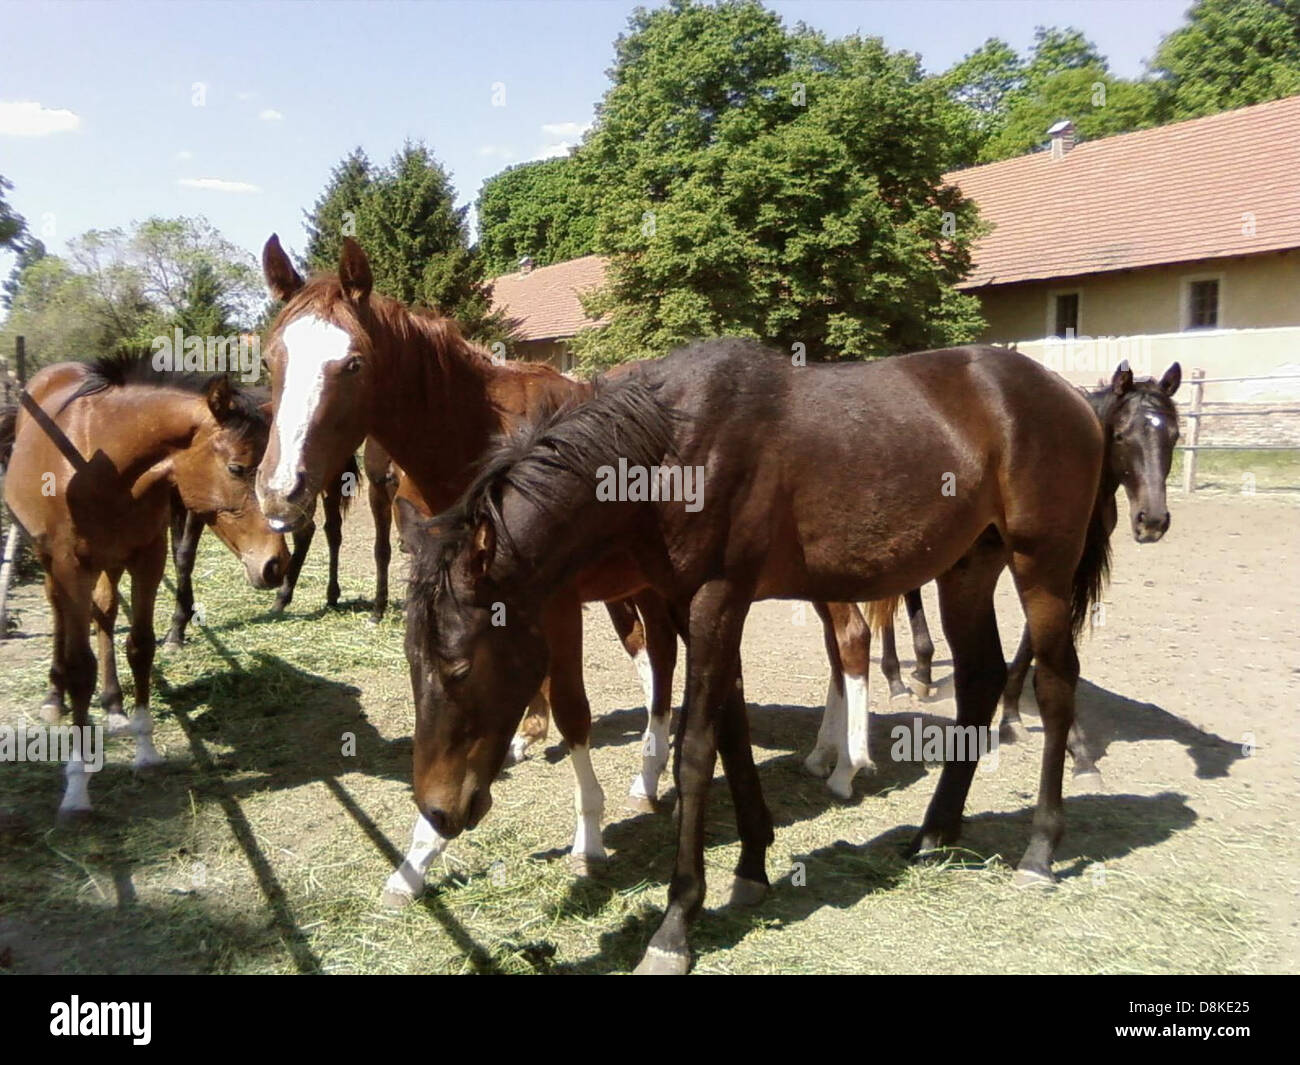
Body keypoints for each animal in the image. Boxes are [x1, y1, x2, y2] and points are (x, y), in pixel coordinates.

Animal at [2, 354, 288, 813]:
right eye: (236, 468)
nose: (274, 565)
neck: (100, 464)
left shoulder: (147, 559)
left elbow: (140, 647)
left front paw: (145, 748)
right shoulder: (71, 567)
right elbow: (80, 666)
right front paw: (77, 786)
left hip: (110, 563)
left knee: (104, 614)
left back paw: (113, 705)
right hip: (50, 561)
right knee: (60, 614)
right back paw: (53, 696)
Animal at [253, 235, 678, 903]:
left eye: (352, 365)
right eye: (271, 358)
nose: (278, 492)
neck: (474, 439)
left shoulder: (555, 602)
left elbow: (574, 709)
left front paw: (588, 837)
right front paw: (416, 859)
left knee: (661, 658)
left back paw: (651, 771)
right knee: (644, 653)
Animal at [401, 338, 1116, 974]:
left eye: (459, 667)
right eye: (413, 661)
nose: (437, 810)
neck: (673, 450)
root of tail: (1069, 396)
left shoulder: (717, 599)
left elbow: (695, 750)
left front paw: (676, 924)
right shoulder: (689, 605)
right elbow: (732, 734)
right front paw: (752, 866)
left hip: (1042, 566)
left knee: (1056, 686)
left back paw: (1040, 849)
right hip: (968, 567)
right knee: (977, 680)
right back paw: (935, 834)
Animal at [807, 360, 1183, 796]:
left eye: (1175, 435)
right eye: (1121, 435)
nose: (1152, 520)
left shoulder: (1055, 573)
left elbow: (1034, 643)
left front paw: (1022, 720)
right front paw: (1071, 746)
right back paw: (904, 679)